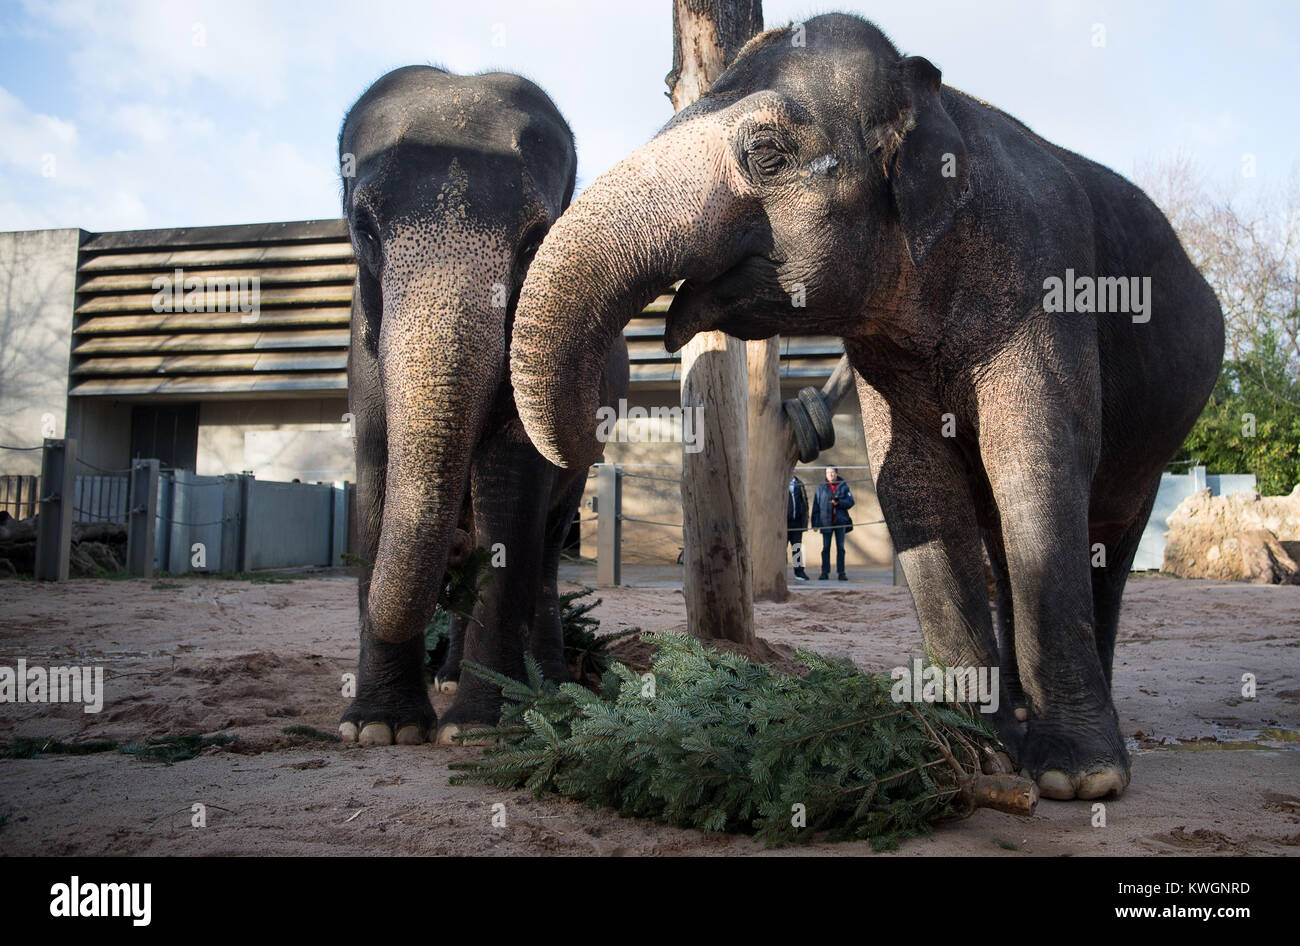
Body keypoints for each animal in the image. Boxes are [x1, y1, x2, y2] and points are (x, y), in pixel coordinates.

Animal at [337, 66, 629, 745]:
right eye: (364, 229)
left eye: (534, 242)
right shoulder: (363, 349)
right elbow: (375, 473)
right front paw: (379, 729)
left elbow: (513, 485)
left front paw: (481, 731)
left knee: (546, 553)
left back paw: (548, 684)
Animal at [508, 14, 1224, 799]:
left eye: (766, 153)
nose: (590, 448)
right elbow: (913, 483)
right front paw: (977, 749)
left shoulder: (1046, 287)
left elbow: (1035, 463)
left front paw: (1078, 780)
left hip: (1160, 434)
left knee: (1107, 532)